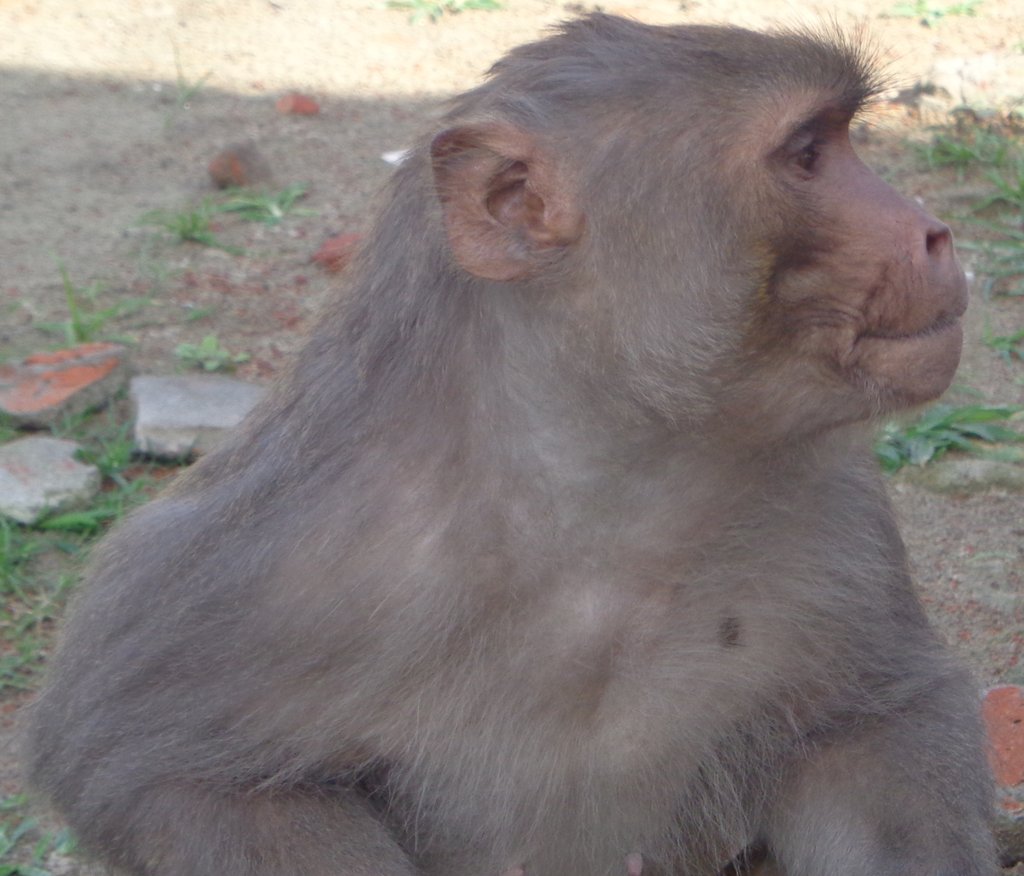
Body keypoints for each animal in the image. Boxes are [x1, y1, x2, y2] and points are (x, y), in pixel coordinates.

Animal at [25, 14, 994, 876]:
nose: (932, 231)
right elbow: (155, 777)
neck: (606, 485)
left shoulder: (836, 509)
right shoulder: (258, 560)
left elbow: (874, 725)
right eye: (806, 153)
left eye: (840, 138)